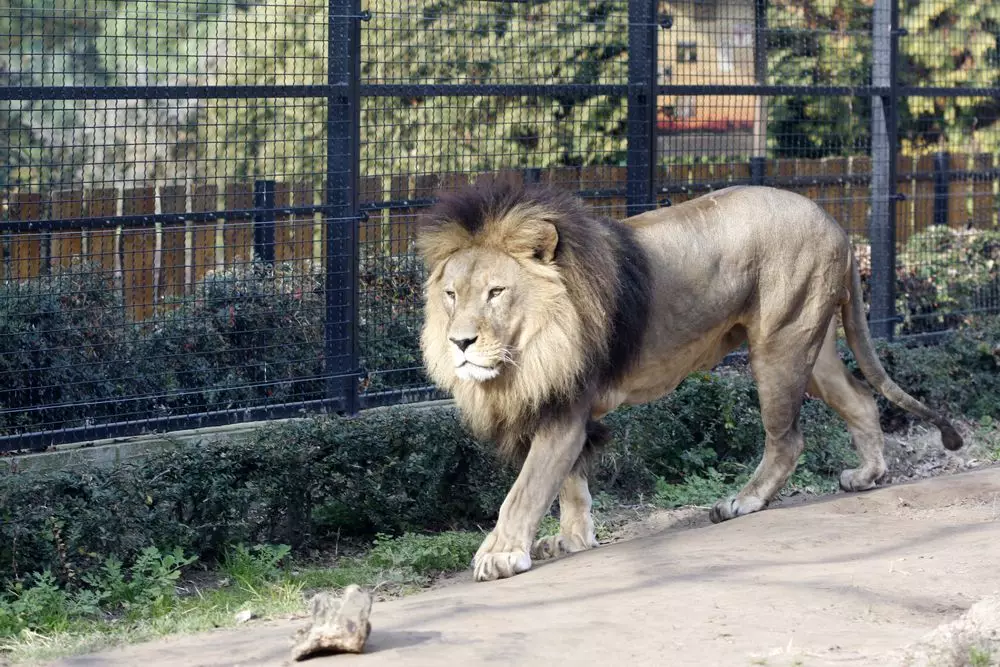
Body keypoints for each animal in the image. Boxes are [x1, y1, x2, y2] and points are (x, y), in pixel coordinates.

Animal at [414, 183, 960, 584]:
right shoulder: (554, 401)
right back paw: (867, 474)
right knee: (861, 400)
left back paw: (744, 501)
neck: (527, 352)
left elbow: (525, 489)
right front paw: (572, 538)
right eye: (450, 294)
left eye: (496, 292)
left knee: (788, 439)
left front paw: (501, 553)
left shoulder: (567, 406)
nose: (460, 343)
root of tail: (837, 225)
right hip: (815, 346)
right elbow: (569, 482)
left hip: (780, 344)